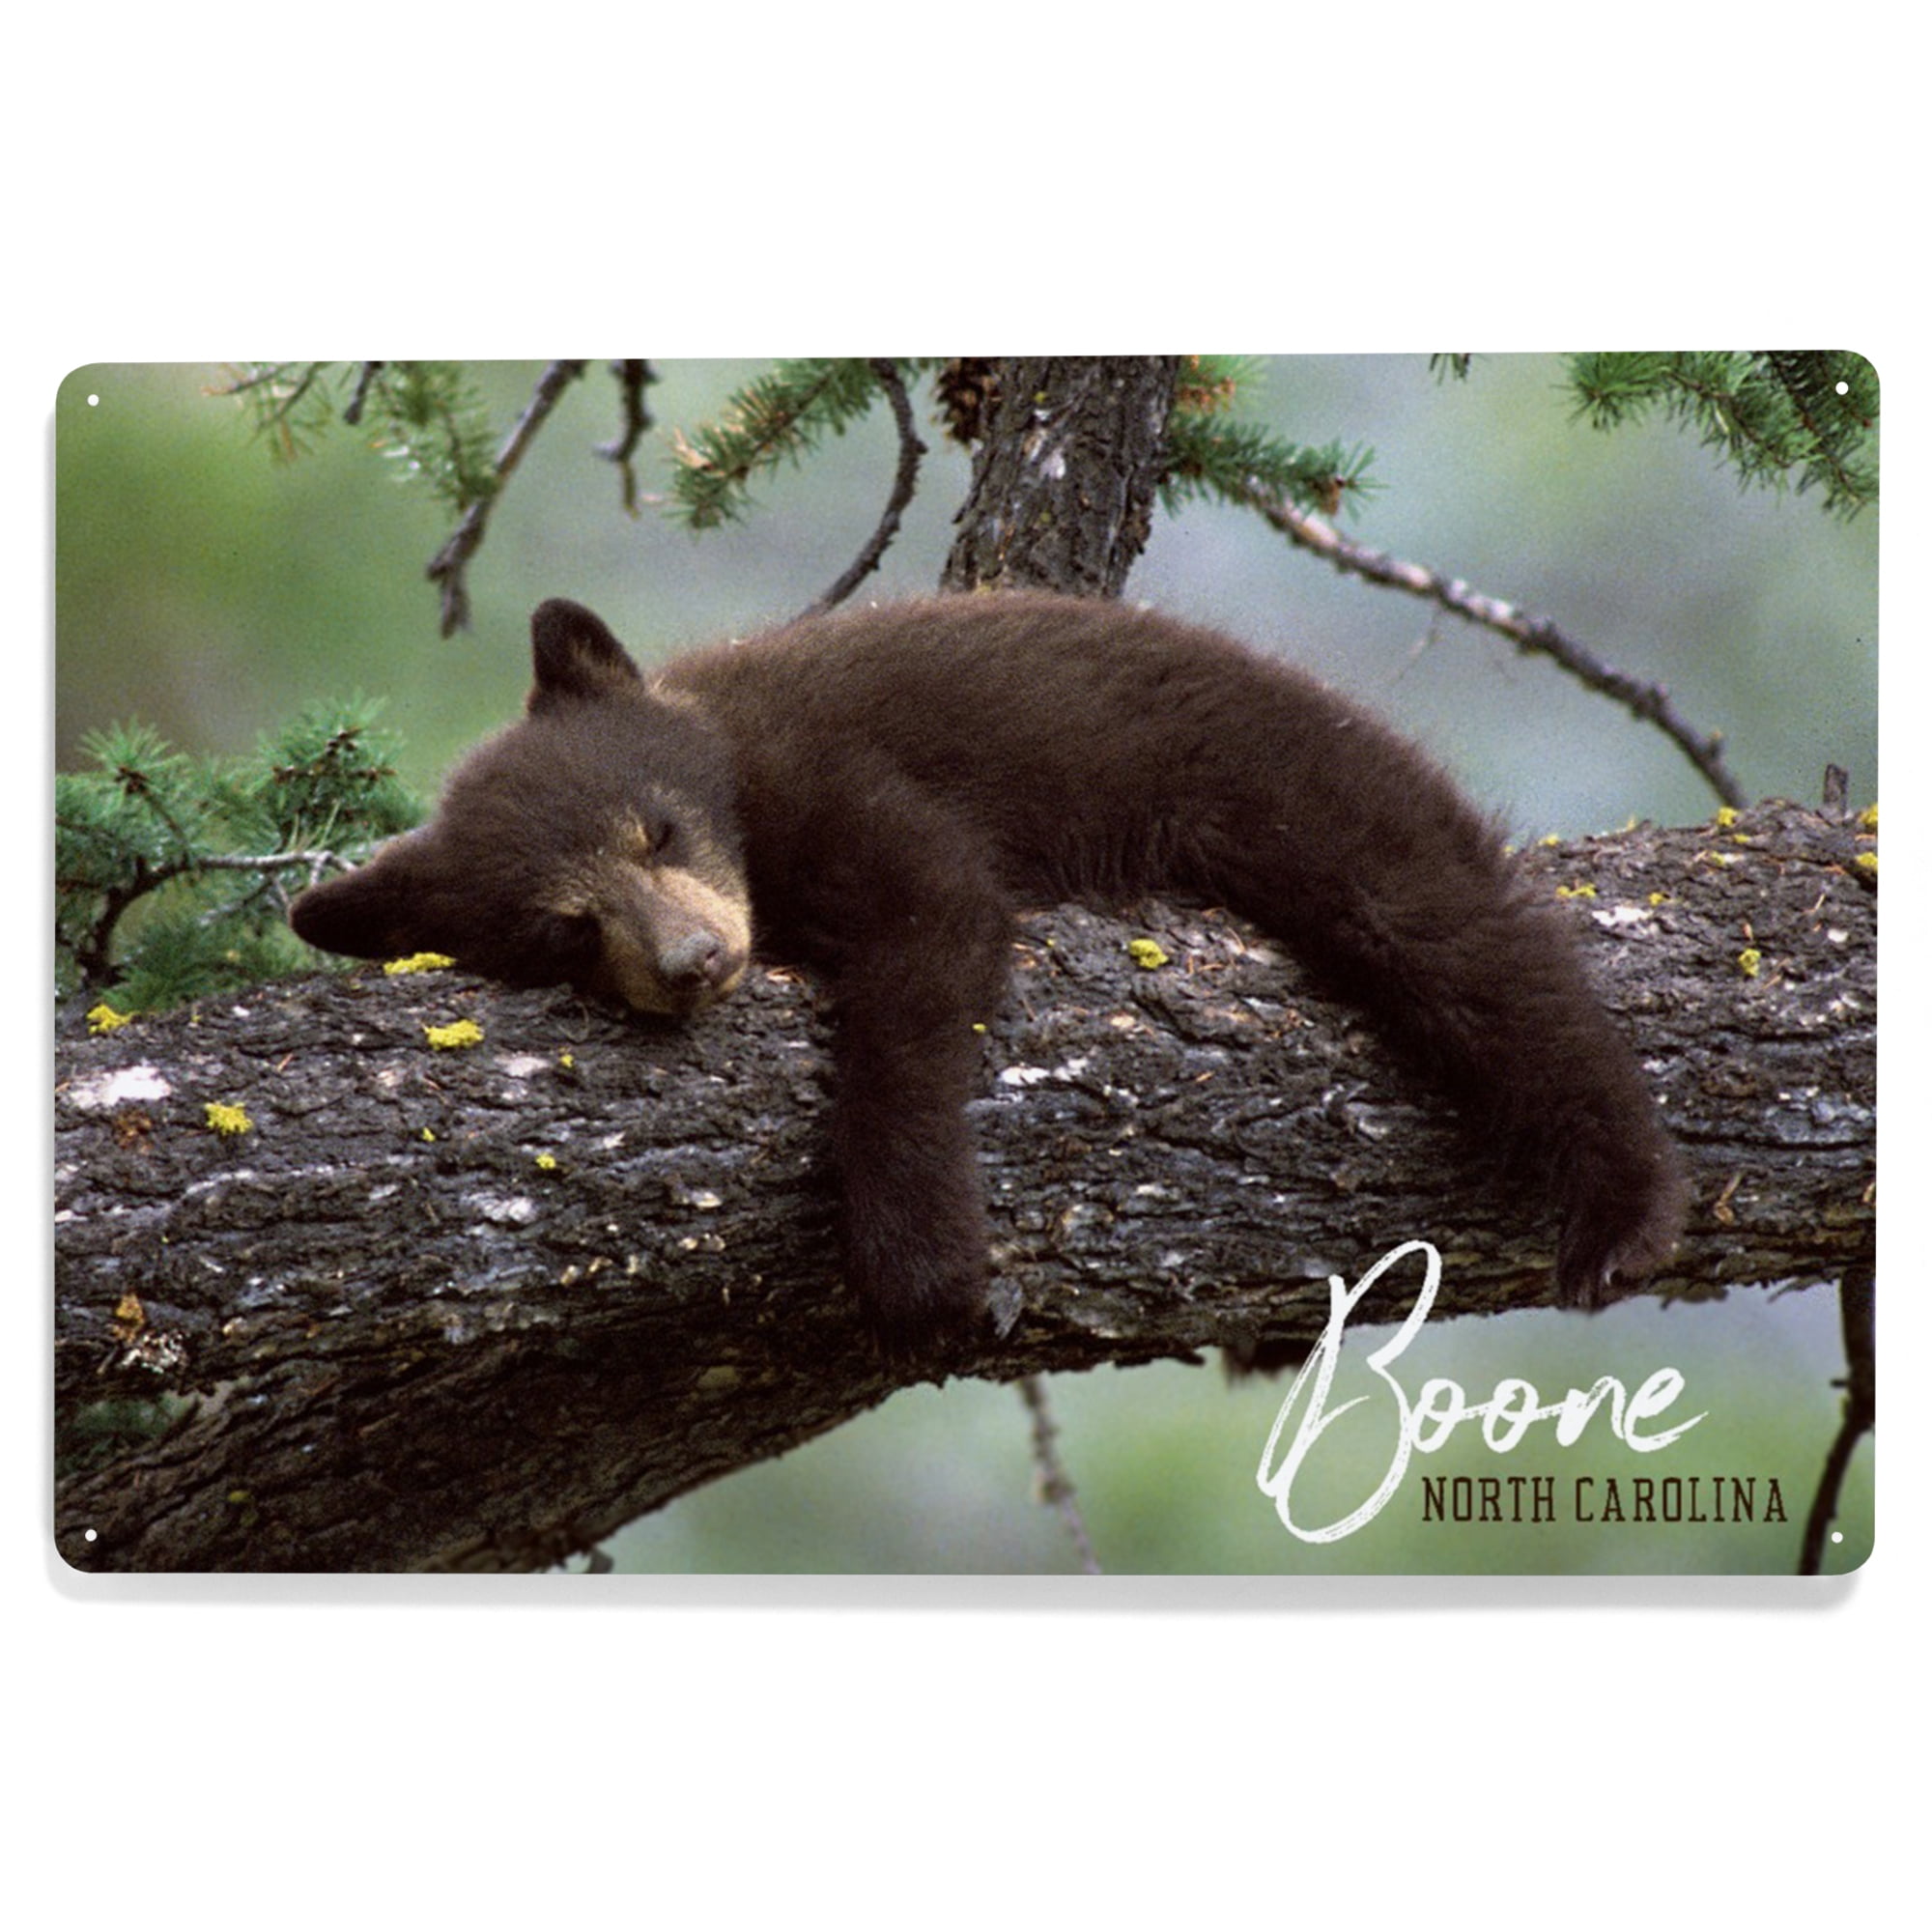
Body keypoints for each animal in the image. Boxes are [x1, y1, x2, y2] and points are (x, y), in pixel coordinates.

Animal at [290, 591, 1686, 1356]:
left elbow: (927, 944)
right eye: (563, 931)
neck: (737, 777)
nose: (696, 961)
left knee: (1463, 943)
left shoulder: (836, 777)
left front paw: (919, 1262)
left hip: (1302, 790)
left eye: (659, 829)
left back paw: (1620, 1203)